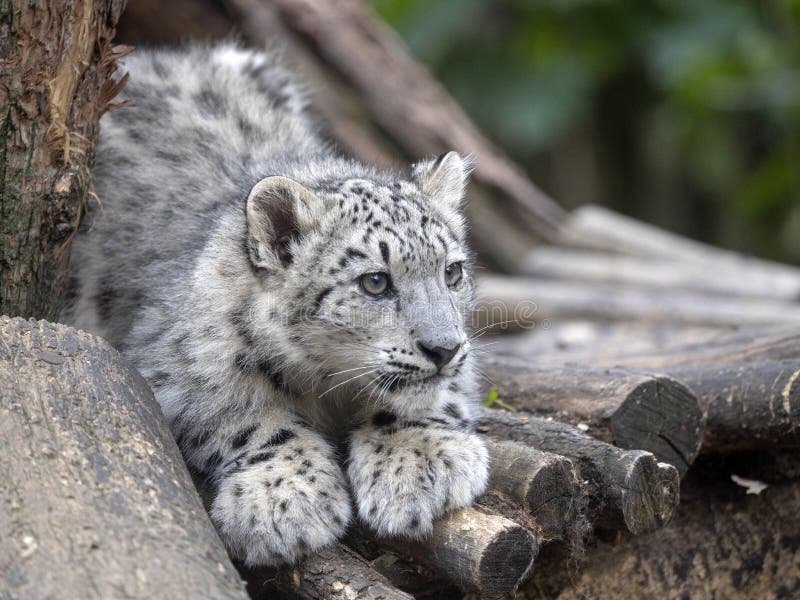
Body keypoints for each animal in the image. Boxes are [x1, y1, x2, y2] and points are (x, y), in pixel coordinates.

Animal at [62, 42, 489, 566]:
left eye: (452, 272)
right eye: (374, 282)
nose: (444, 348)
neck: (328, 384)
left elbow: (432, 397)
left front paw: (421, 460)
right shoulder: (179, 366)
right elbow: (246, 418)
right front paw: (284, 500)